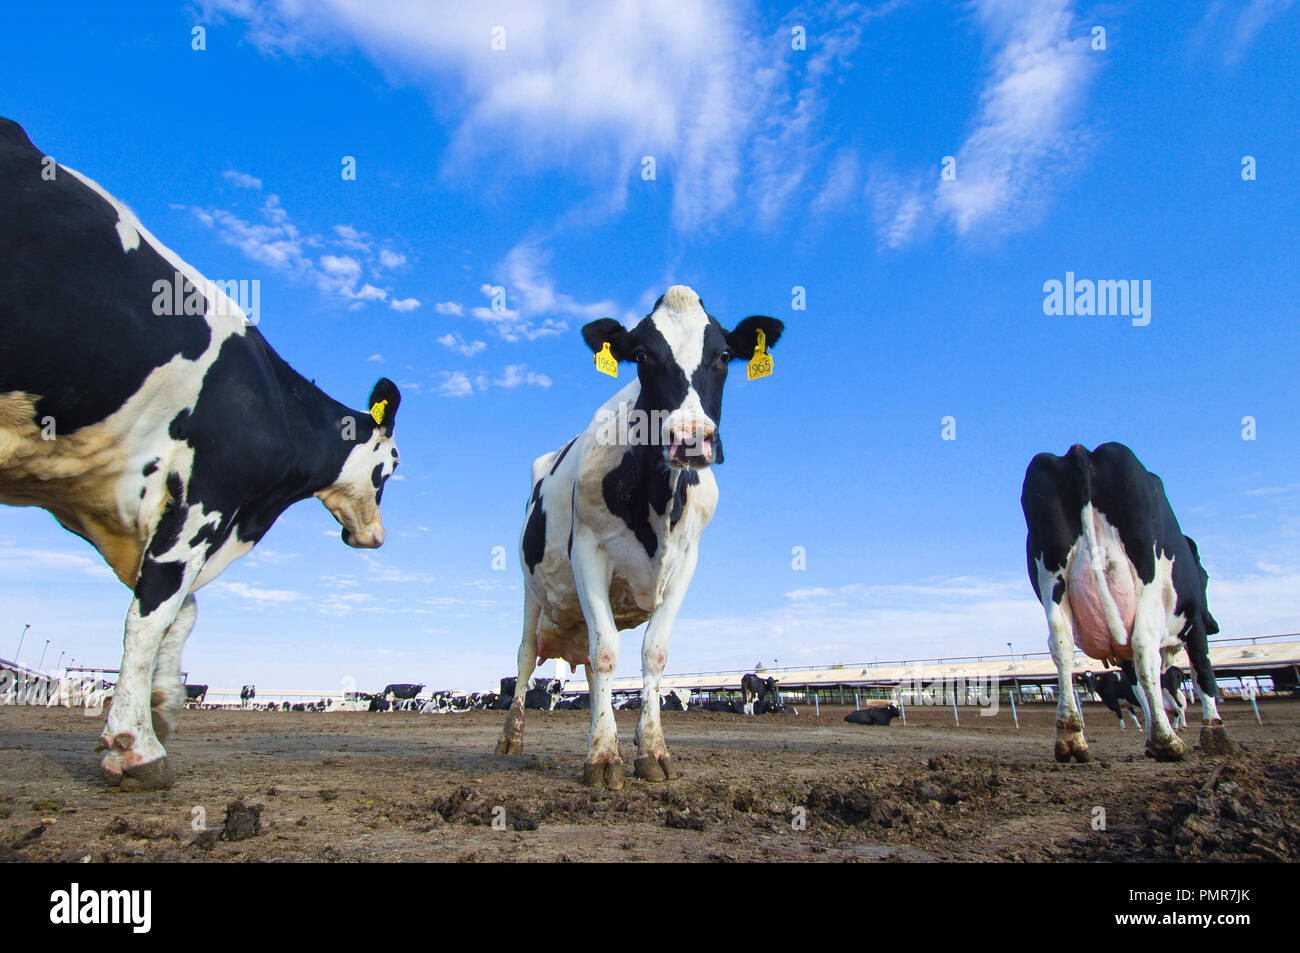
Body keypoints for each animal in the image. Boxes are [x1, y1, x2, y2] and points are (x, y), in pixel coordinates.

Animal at [0, 118, 402, 789]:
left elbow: (176, 611)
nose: (374, 536)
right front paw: (136, 744)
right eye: (391, 468)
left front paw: (160, 708)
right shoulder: (206, 492)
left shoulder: (128, 504)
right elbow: (153, 611)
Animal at [493, 286, 784, 789]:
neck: (658, 501)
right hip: (530, 591)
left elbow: (653, 653)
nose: (691, 437)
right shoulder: (588, 552)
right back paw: (512, 739)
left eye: (724, 355)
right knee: (527, 658)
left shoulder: (687, 559)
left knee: (590, 665)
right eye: (644, 355)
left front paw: (649, 750)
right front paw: (603, 759)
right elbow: (609, 651)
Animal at [1021, 442, 1229, 763]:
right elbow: (1203, 672)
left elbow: (1140, 689)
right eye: (1206, 577)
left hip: (1051, 577)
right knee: (1145, 645)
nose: (1215, 624)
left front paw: (1150, 738)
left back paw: (1071, 738)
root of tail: (1080, 451)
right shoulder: (1195, 624)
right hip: (1145, 575)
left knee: (1061, 644)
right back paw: (1168, 740)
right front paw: (1213, 734)